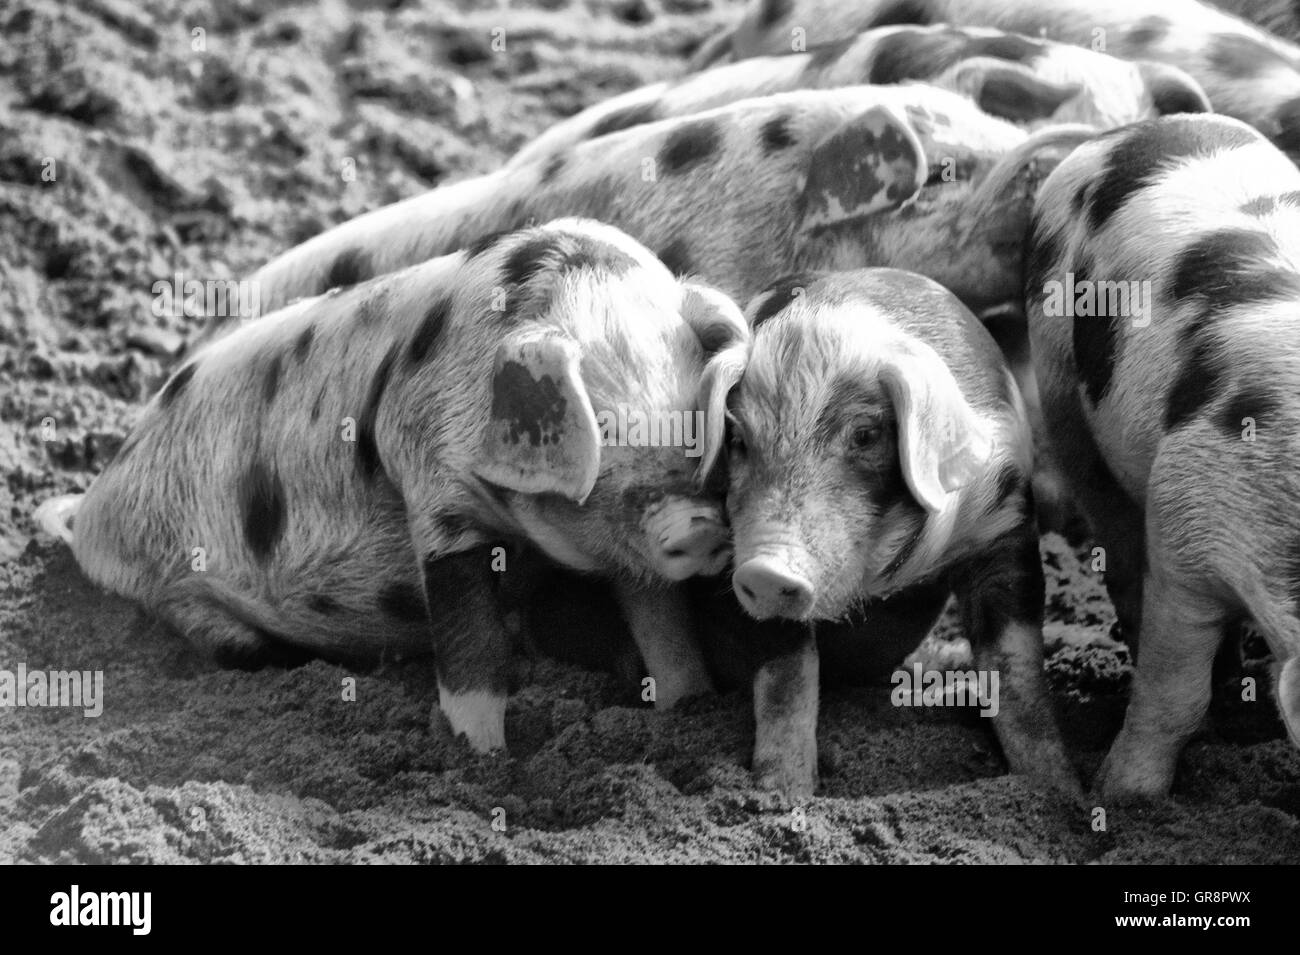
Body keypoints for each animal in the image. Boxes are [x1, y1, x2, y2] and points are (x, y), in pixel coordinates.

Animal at [41, 219, 748, 751]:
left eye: (694, 417)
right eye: (600, 425)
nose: (698, 525)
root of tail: (90, 507)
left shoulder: (626, 551)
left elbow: (666, 631)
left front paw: (690, 711)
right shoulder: (433, 490)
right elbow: (471, 643)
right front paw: (480, 756)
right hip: (168, 590)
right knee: (218, 638)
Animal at [696, 267, 1078, 799]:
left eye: (865, 434)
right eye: (737, 439)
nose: (768, 569)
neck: (879, 584)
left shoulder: (1005, 528)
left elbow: (1016, 670)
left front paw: (1060, 792)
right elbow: (788, 676)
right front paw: (781, 794)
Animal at [1024, 114, 1300, 800]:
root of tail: (1130, 130)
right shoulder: (1186, 522)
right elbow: (1173, 689)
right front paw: (1121, 797)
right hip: (1059, 387)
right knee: (1117, 545)